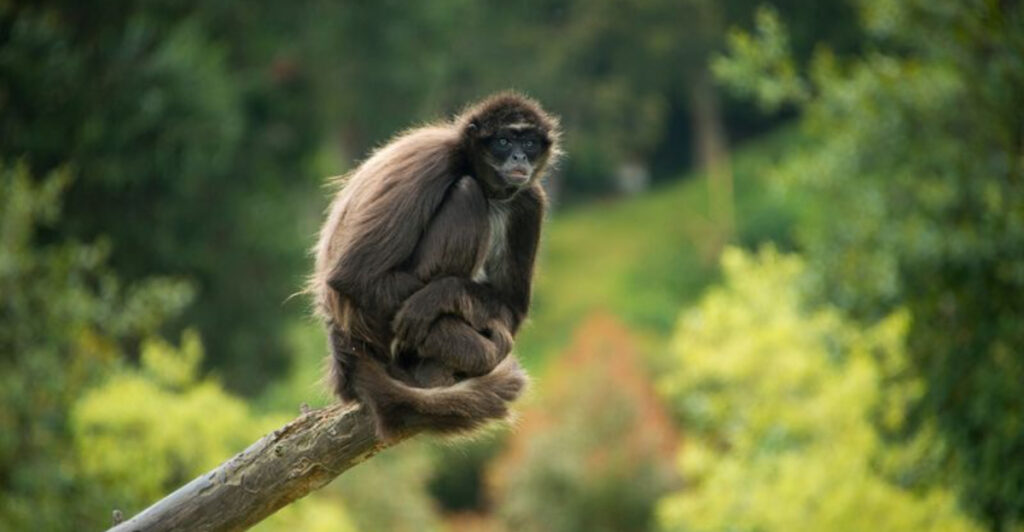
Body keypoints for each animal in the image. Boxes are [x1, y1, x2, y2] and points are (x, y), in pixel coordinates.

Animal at [310, 92, 562, 439]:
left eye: (529, 143)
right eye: (503, 141)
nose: (518, 157)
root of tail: (341, 339)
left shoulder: (530, 199)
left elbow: (512, 308)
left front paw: (441, 294)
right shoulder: (435, 161)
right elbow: (354, 276)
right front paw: (478, 348)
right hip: (372, 324)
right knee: (466, 191)